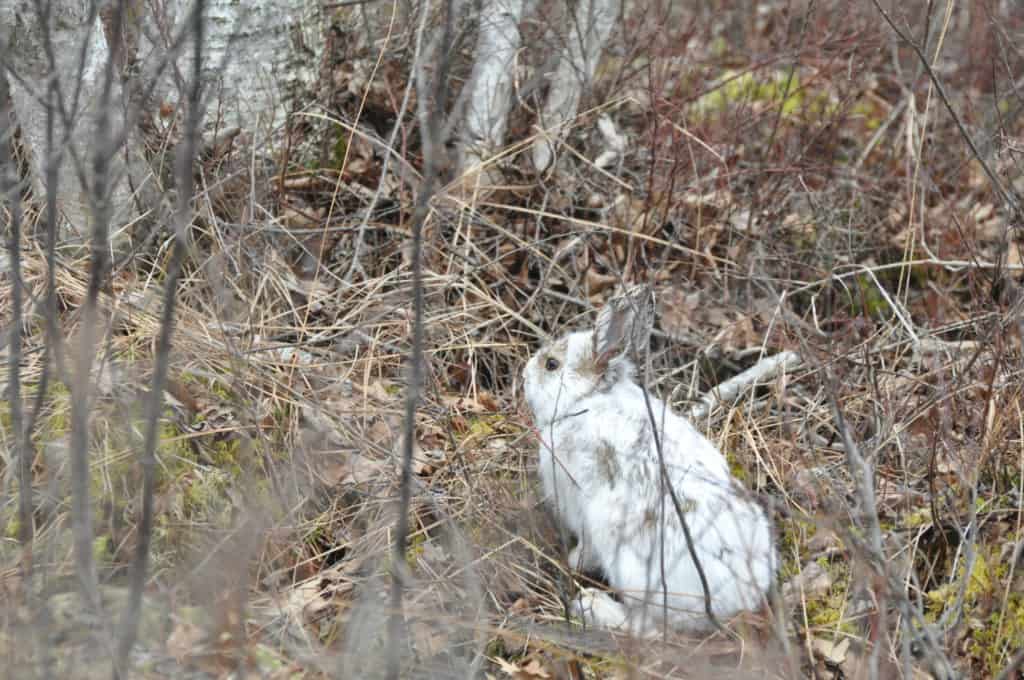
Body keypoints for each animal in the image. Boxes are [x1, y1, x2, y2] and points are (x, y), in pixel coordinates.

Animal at [522, 286, 777, 636]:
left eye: (551, 364)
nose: (523, 374)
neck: (585, 400)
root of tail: (739, 598)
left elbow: (584, 548)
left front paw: (572, 562)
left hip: (629, 565)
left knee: (647, 628)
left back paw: (592, 606)